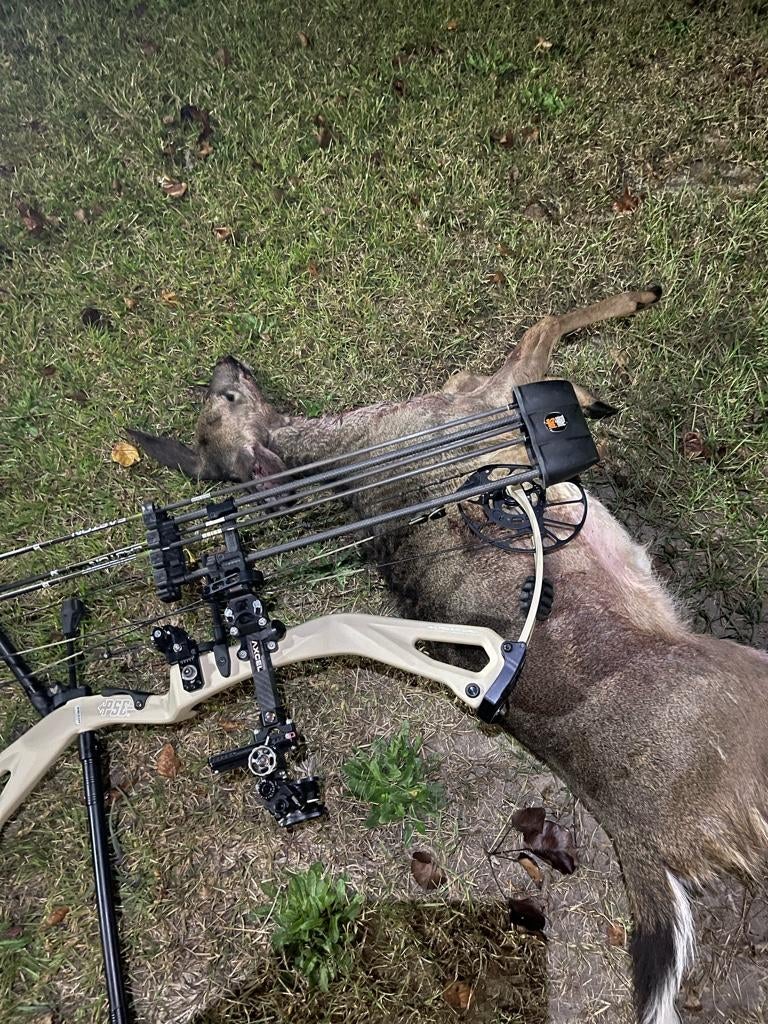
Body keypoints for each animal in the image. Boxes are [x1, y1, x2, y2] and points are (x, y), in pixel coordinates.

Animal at [129, 286, 768, 1024]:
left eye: (219, 402)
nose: (226, 362)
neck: (363, 439)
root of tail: (638, 837)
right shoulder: (489, 395)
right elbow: (544, 324)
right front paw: (638, 300)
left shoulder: (477, 392)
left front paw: (598, 391)